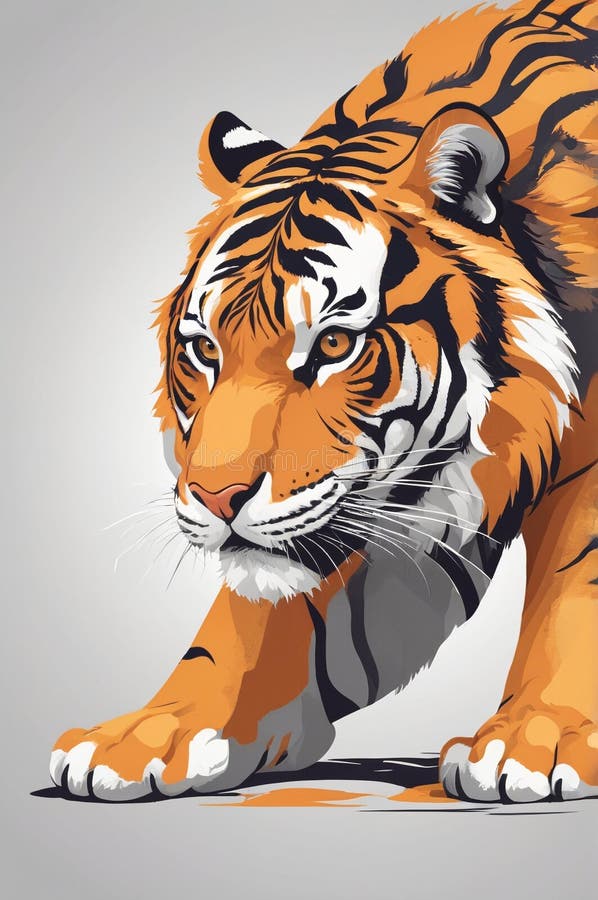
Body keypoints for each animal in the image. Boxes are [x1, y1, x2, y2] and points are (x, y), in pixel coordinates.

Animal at [50, 0, 597, 804]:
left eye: (335, 345)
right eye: (206, 351)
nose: (215, 497)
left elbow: (578, 581)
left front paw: (539, 736)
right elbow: (266, 622)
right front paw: (155, 731)